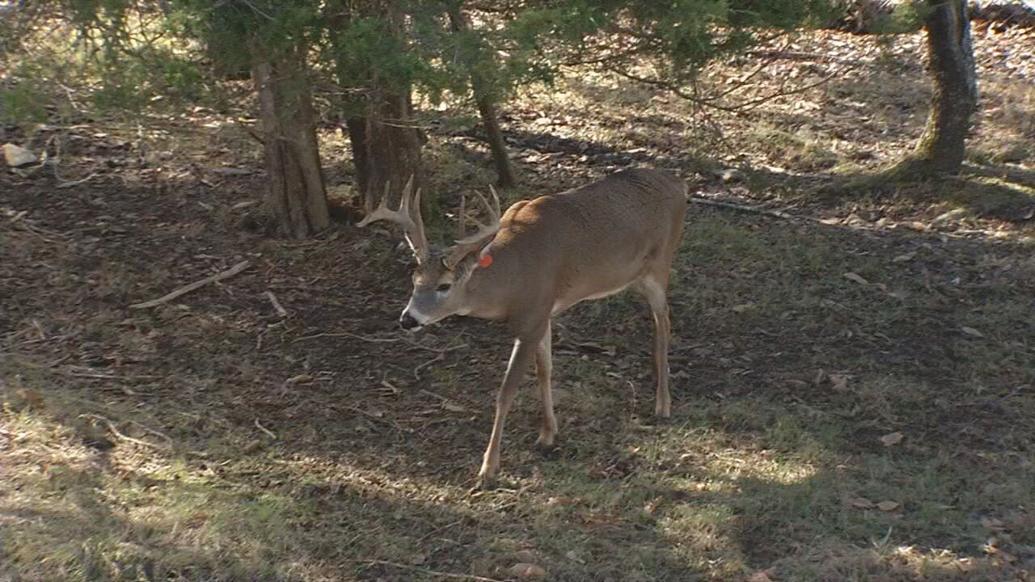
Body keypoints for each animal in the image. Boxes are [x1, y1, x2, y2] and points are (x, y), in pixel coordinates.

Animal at [358, 168, 688, 488]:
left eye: (444, 285)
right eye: (414, 279)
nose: (408, 319)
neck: (514, 278)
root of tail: (677, 182)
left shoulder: (531, 318)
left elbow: (506, 391)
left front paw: (488, 469)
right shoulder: (544, 314)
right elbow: (545, 369)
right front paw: (548, 434)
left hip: (660, 264)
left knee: (664, 322)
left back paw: (663, 405)